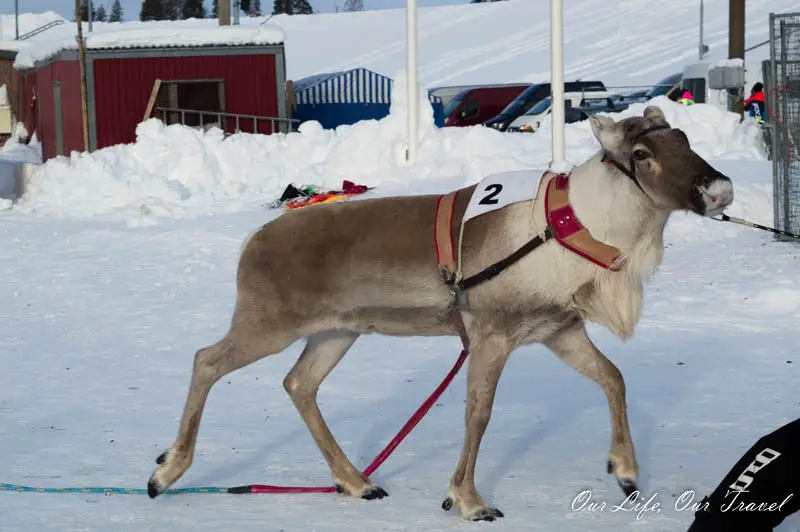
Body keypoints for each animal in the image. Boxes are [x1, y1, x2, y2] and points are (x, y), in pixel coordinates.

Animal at [146, 106, 734, 522]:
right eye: (640, 151)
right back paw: (166, 471)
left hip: (336, 332)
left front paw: (627, 472)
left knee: (298, 384)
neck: (579, 228)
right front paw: (468, 500)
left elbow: (614, 378)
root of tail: (251, 243)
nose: (719, 189)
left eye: (684, 139)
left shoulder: (558, 330)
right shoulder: (492, 334)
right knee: (207, 360)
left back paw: (357, 481)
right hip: (268, 323)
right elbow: (479, 413)